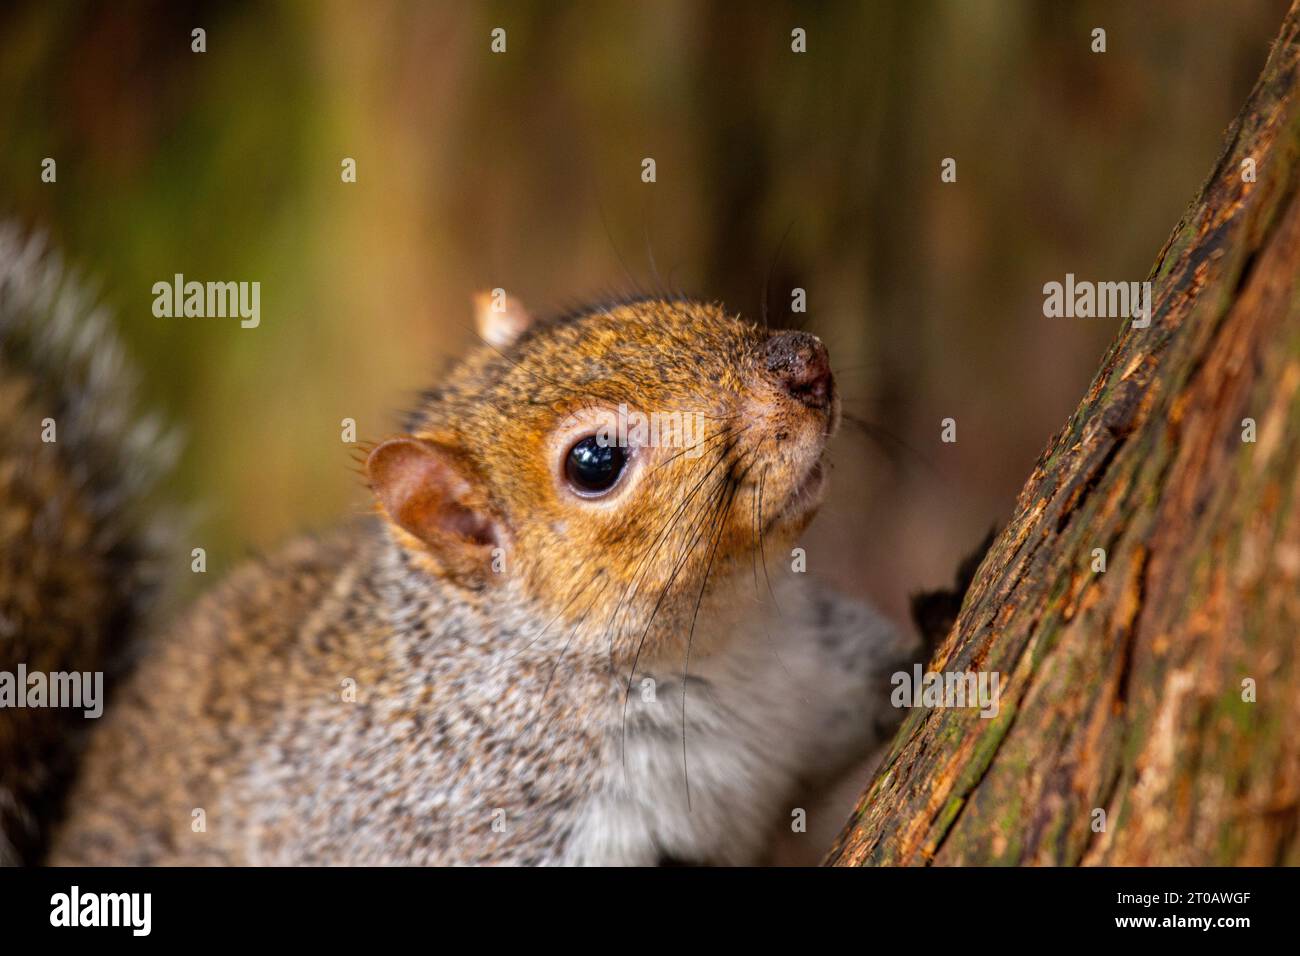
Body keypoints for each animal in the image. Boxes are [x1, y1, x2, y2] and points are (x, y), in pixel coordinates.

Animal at [1, 225, 929, 866]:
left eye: (645, 308)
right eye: (595, 462)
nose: (807, 364)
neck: (724, 640)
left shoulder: (820, 671)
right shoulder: (466, 824)